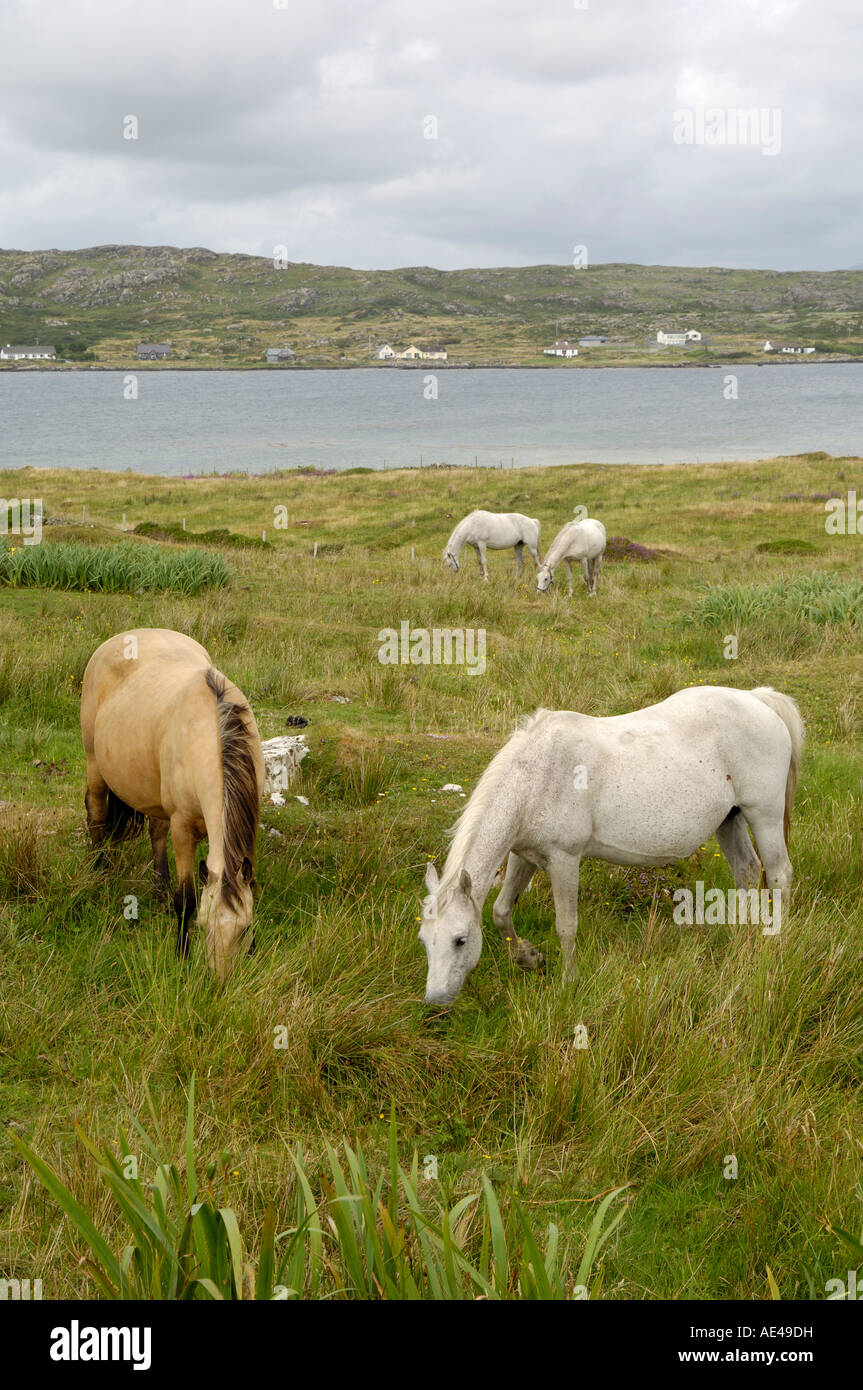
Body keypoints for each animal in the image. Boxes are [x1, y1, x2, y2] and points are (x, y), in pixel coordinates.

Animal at [80, 628, 265, 979]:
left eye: (246, 929)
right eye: (203, 926)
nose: (219, 983)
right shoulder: (183, 828)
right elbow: (187, 899)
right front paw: (181, 953)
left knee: (155, 831)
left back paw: (158, 886)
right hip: (95, 763)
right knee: (96, 811)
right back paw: (99, 869)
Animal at [419, 686, 803, 1006]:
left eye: (459, 940)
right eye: (424, 940)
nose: (436, 1000)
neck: (538, 776)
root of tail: (757, 698)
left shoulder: (564, 859)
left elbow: (566, 925)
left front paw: (568, 982)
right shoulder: (523, 855)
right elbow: (501, 912)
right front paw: (528, 958)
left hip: (763, 816)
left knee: (780, 875)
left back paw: (774, 940)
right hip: (729, 819)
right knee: (747, 871)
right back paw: (741, 937)